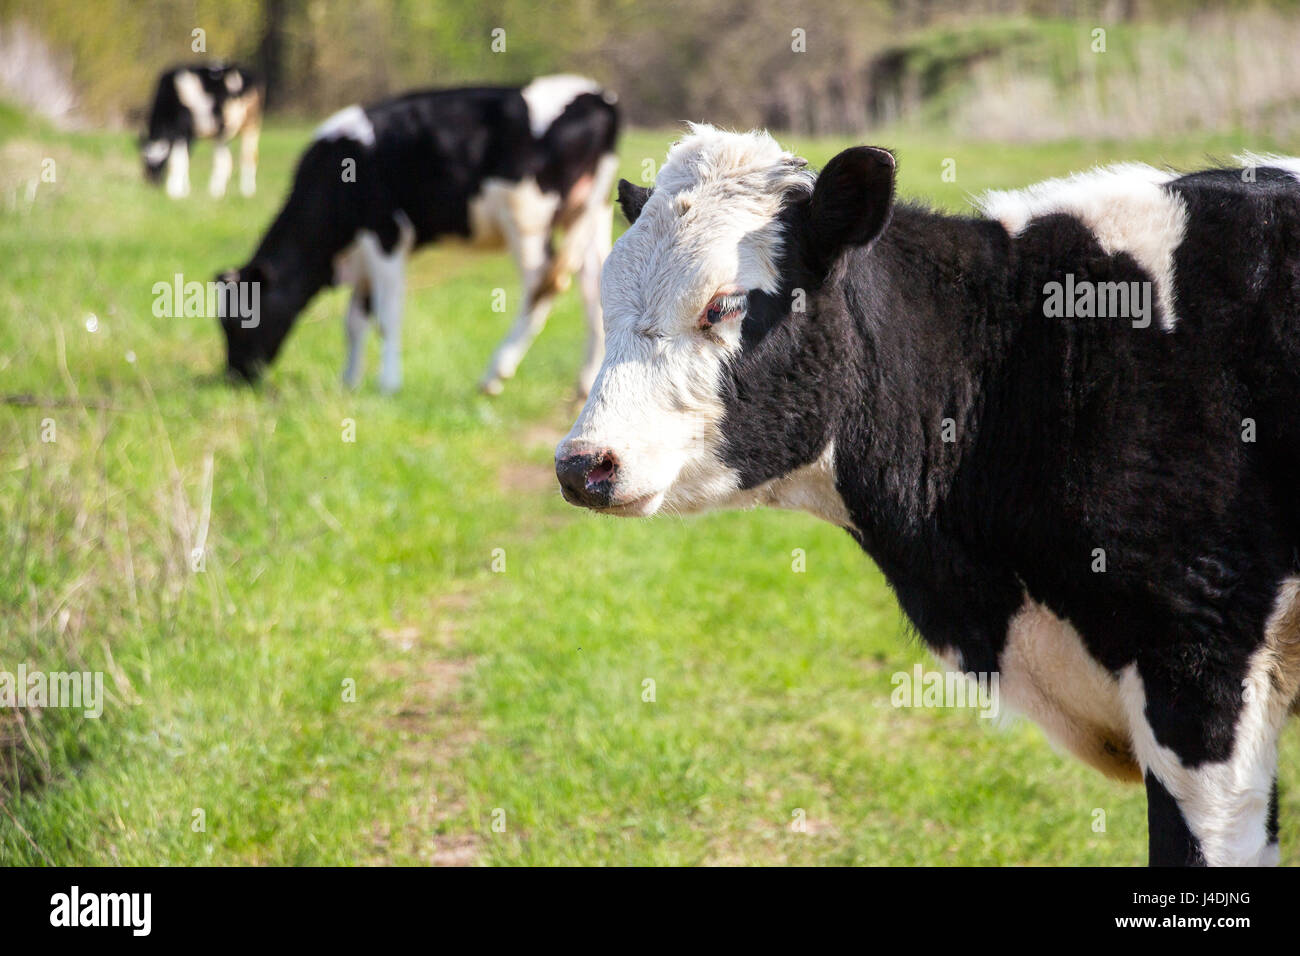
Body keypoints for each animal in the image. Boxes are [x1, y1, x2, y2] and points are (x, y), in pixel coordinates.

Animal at [141, 62, 263, 199]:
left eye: (157, 165)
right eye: (144, 163)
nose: (152, 184)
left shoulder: (183, 132)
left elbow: (179, 160)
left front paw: (174, 192)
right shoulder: (189, 136)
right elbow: (185, 159)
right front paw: (185, 191)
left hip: (250, 126)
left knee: (247, 157)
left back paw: (246, 192)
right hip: (226, 134)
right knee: (227, 161)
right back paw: (217, 192)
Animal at [216, 75, 620, 396]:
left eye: (239, 320)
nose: (235, 376)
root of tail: (597, 97)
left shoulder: (386, 234)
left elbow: (387, 314)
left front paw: (387, 384)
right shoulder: (363, 255)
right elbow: (355, 321)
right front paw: (349, 382)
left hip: (526, 220)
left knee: (543, 286)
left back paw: (495, 374)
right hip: (592, 214)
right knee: (593, 285)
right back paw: (586, 381)